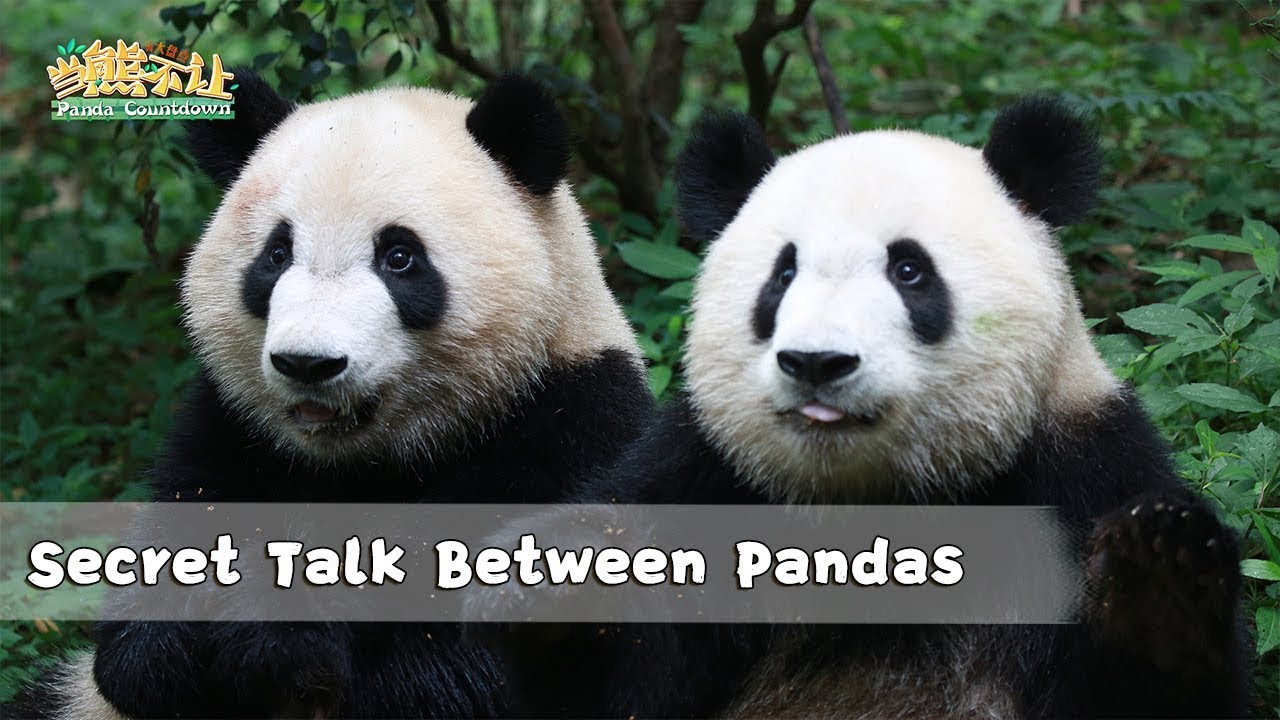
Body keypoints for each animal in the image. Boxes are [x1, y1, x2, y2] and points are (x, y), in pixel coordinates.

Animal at [17, 70, 652, 719]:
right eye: (276, 254)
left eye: (399, 257)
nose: (308, 363)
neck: (356, 461)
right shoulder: (229, 429)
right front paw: (170, 641)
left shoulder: (572, 428)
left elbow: (474, 653)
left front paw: (273, 633)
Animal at [552, 98, 1249, 718]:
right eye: (783, 275)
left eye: (909, 270)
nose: (817, 363)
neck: (876, 504)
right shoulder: (702, 472)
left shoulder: (1081, 467)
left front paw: (1160, 574)